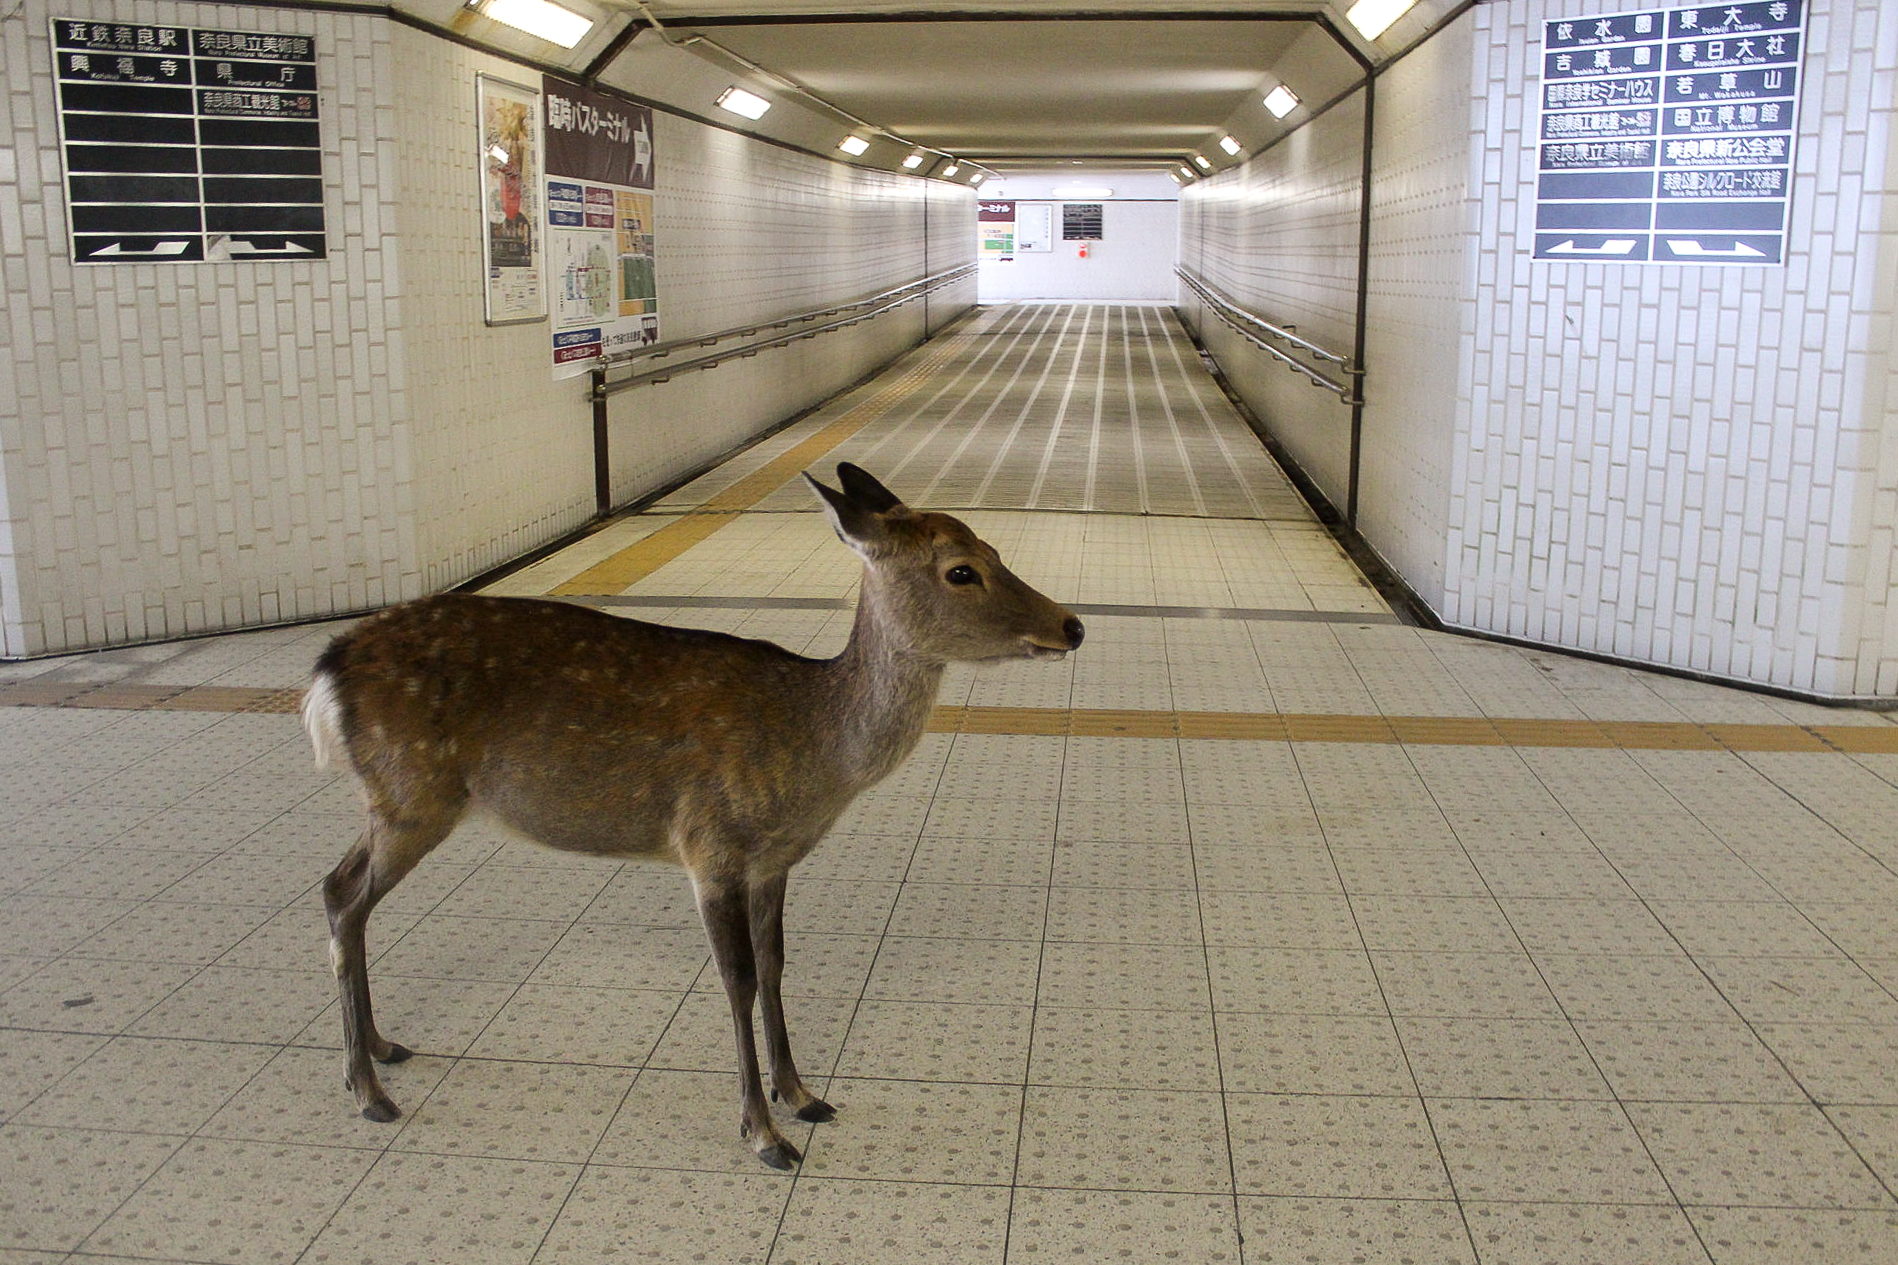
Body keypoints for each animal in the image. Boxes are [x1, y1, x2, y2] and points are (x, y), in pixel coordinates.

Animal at [303, 463, 1083, 1169]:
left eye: (994, 548)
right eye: (961, 570)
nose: (1073, 624)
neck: (817, 753)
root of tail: (324, 675)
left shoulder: (773, 859)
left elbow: (774, 964)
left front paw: (804, 1094)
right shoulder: (710, 845)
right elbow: (736, 978)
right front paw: (764, 1133)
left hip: (399, 800)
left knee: (345, 893)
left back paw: (382, 1049)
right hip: (412, 793)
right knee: (341, 892)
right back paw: (367, 1089)